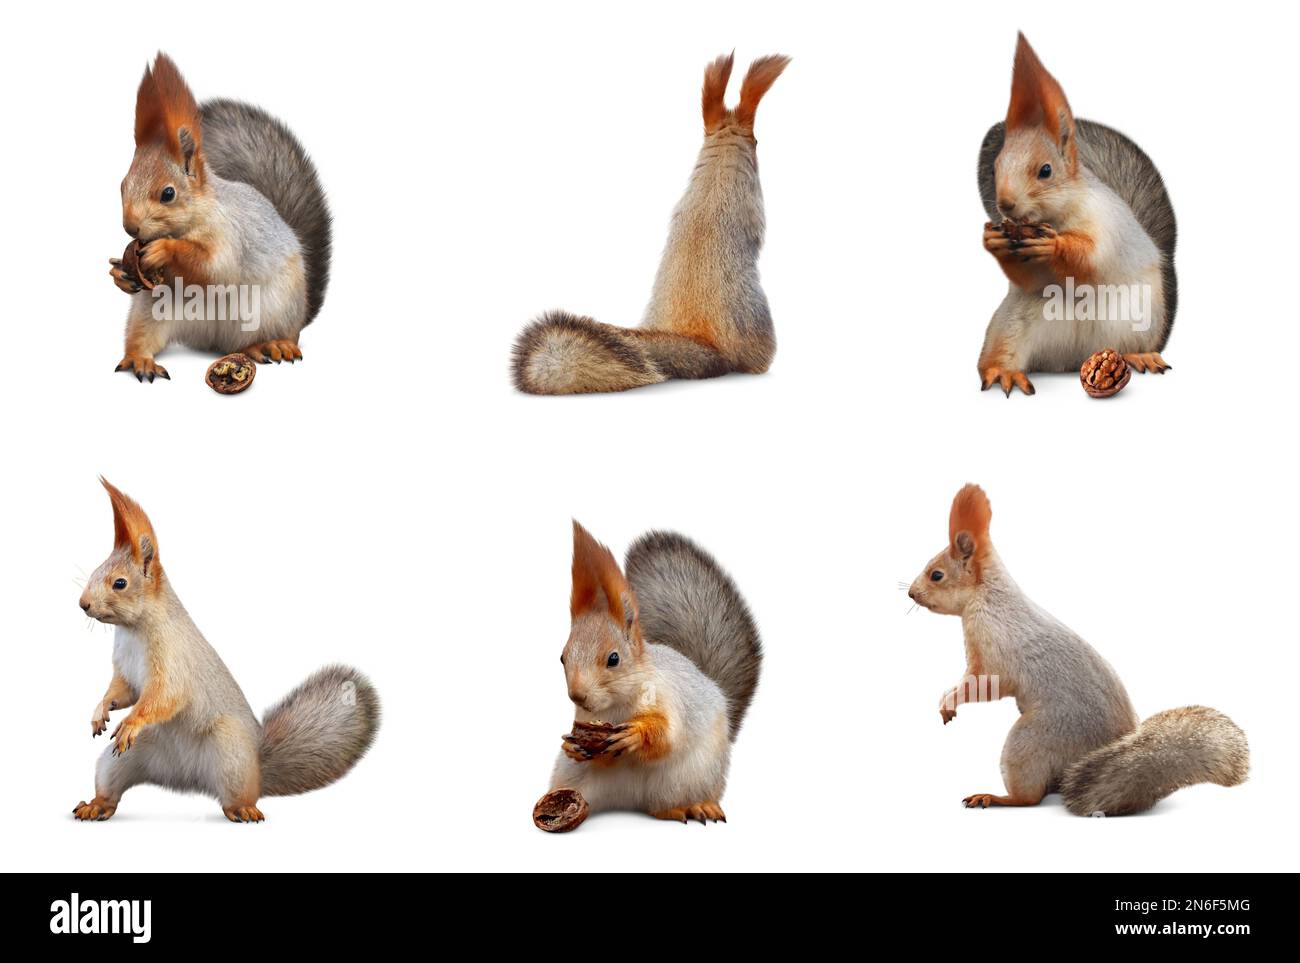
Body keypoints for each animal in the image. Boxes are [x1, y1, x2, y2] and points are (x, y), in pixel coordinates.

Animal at [74, 479, 379, 822]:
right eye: (95, 571)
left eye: (120, 583)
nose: (83, 604)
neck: (133, 630)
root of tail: (184, 777)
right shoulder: (124, 671)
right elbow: (121, 692)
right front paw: (100, 710)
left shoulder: (174, 660)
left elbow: (163, 696)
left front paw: (131, 722)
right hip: (123, 759)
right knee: (111, 781)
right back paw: (97, 804)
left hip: (229, 751)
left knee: (238, 794)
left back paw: (244, 809)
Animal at [108, 53, 331, 381]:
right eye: (123, 185)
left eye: (168, 193)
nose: (130, 227)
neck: (196, 217)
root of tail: (214, 340)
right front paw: (119, 272)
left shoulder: (231, 234)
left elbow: (214, 267)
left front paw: (165, 250)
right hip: (154, 309)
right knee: (143, 334)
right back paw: (140, 359)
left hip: (276, 309)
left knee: (274, 335)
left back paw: (273, 344)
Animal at [548, 523, 762, 823]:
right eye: (562, 657)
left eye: (614, 658)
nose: (577, 696)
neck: (616, 705)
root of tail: (629, 799)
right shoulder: (586, 719)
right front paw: (572, 746)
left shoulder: (669, 697)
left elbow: (668, 735)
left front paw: (636, 735)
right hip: (576, 777)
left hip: (689, 777)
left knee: (662, 807)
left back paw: (694, 806)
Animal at [908, 484, 1249, 815]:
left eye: (936, 575)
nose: (910, 593)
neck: (988, 595)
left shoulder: (993, 647)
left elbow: (982, 684)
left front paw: (948, 702)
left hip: (1032, 739)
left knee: (1030, 797)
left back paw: (995, 797)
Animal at [976, 34, 1177, 395]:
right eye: (996, 168)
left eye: (1046, 171)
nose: (1005, 205)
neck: (1055, 219)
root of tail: (1073, 360)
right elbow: (1030, 279)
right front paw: (993, 241)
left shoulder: (1108, 224)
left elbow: (1093, 257)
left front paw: (1054, 246)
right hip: (1011, 325)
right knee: (1004, 349)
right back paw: (1002, 371)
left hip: (1142, 317)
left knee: (1132, 343)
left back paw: (1140, 356)